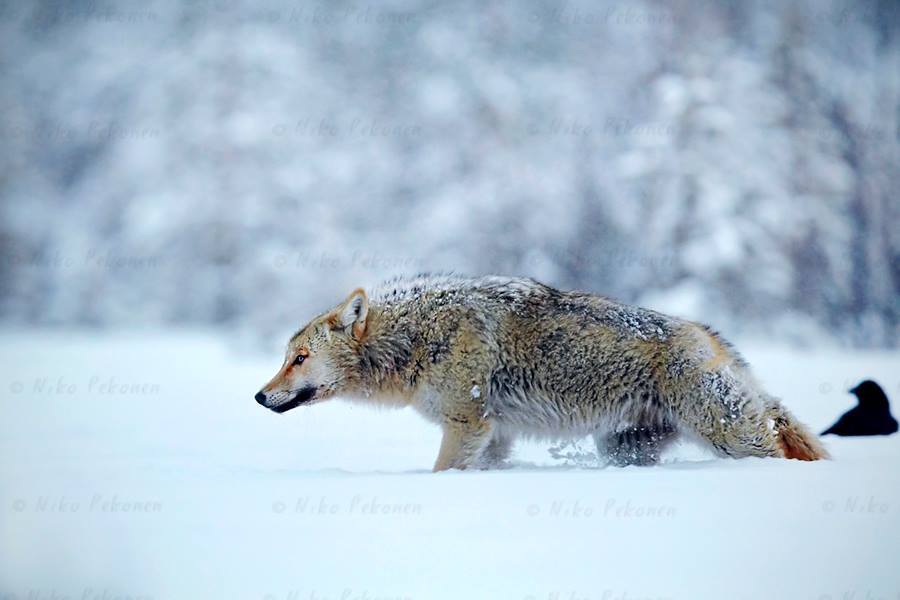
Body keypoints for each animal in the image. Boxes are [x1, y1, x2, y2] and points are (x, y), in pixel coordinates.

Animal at [255, 274, 828, 471]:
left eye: (298, 358)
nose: (259, 397)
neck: (417, 339)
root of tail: (711, 335)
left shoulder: (466, 424)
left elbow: (440, 473)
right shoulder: (493, 435)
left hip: (728, 436)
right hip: (621, 449)